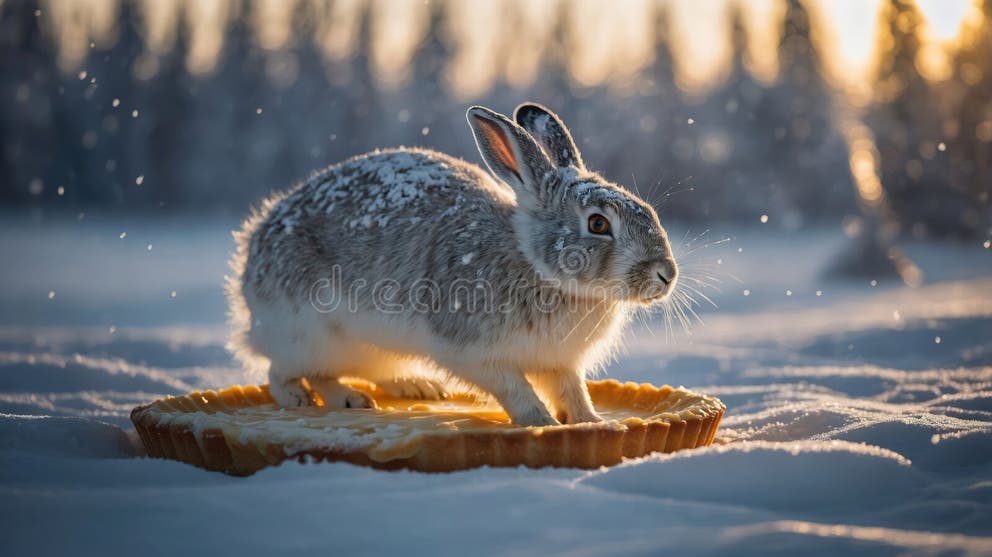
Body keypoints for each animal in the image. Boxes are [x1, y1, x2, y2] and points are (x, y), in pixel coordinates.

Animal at [227, 103, 678, 426]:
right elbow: (516, 389)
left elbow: (572, 390)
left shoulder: (560, 362)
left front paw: (592, 421)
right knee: (287, 370)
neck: (538, 268)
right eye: (598, 223)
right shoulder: (476, 353)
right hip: (307, 331)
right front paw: (541, 422)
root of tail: (254, 248)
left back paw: (413, 388)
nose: (666, 274)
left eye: (646, 209)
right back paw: (316, 397)